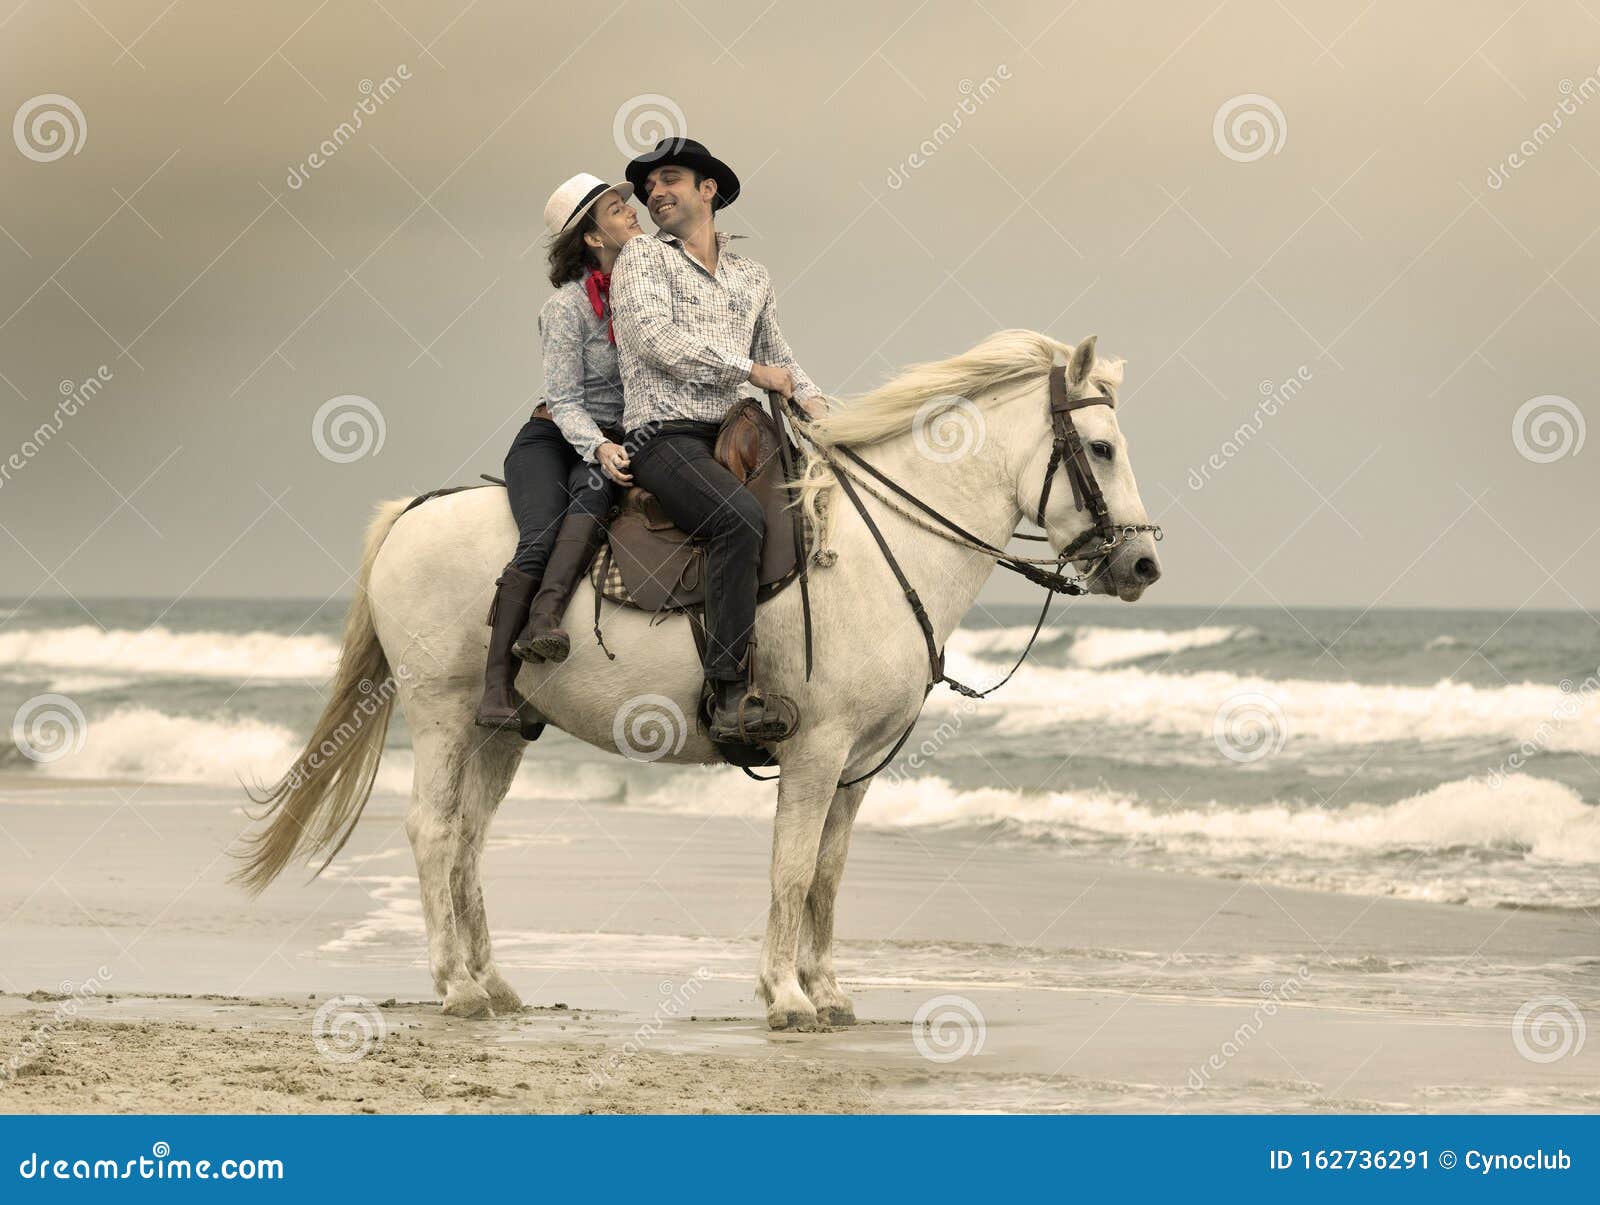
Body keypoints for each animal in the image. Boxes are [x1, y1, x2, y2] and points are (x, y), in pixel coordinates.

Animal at [232, 329, 1162, 1029]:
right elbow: (791, 870)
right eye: (1103, 447)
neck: (882, 547)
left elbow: (827, 877)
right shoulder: (817, 751)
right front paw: (785, 997)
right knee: (431, 831)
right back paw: (456, 987)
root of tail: (413, 513)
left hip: (502, 727)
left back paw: (492, 982)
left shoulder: (857, 768)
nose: (1144, 564)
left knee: (465, 839)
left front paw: (828, 993)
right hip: (440, 713)